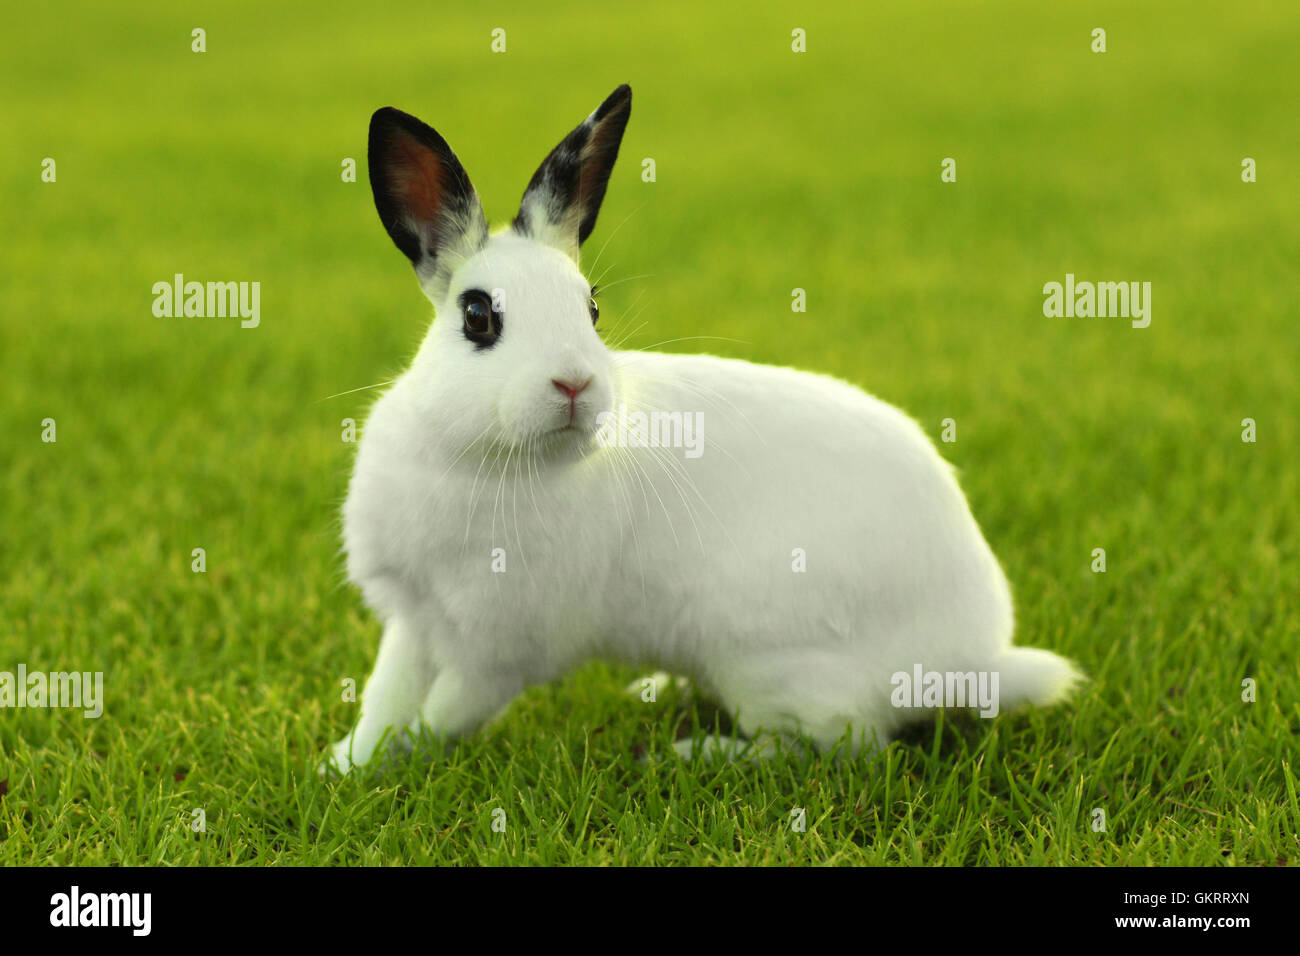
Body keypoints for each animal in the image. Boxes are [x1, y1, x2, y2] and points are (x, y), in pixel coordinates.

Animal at [325, 84, 1082, 774]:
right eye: (478, 315)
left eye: (591, 308)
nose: (574, 383)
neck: (475, 458)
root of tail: (971, 658)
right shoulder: (413, 620)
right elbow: (386, 697)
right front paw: (347, 765)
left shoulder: (500, 649)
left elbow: (446, 712)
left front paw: (402, 755)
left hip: (771, 663)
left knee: (831, 746)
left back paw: (694, 753)